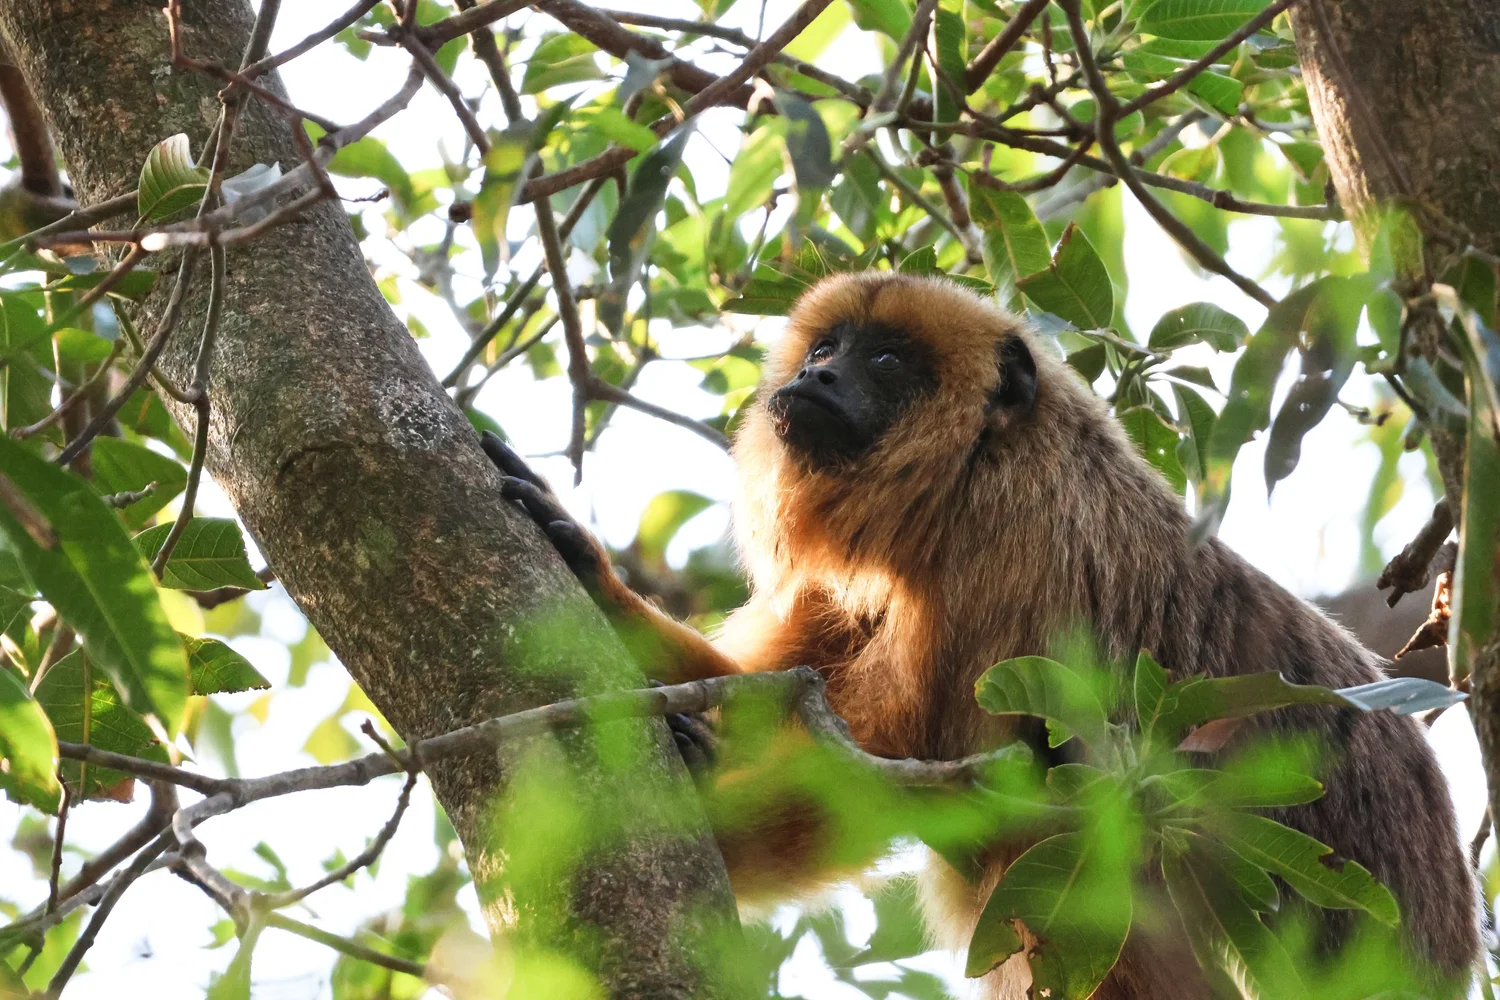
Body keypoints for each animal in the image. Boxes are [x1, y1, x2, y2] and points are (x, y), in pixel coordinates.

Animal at [483, 271, 1479, 998]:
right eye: (827, 348)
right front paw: (597, 587)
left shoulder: (1012, 541)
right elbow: (772, 695)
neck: (952, 487)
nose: (813, 378)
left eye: (887, 360)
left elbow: (894, 761)